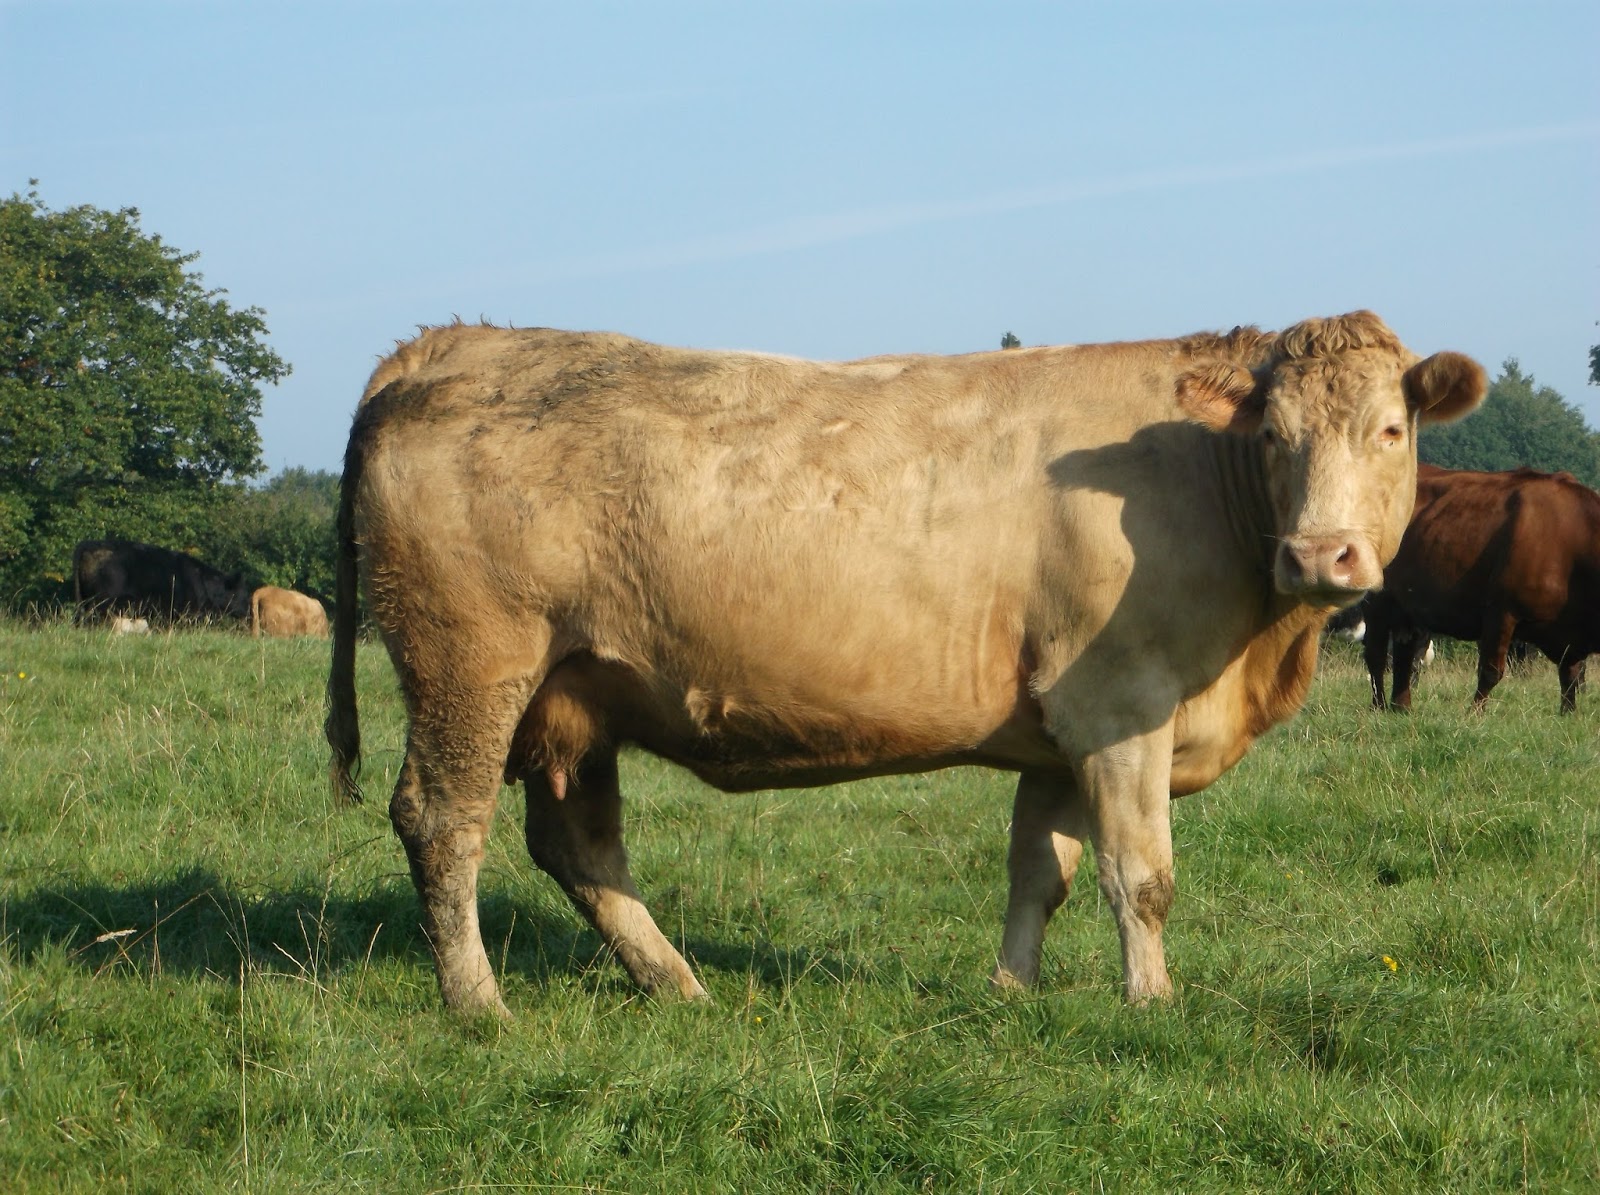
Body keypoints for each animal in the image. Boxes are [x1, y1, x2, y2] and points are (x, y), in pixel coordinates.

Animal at [325, 313, 1485, 1018]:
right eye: (1276, 434)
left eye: (1390, 428)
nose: (1321, 554)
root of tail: (445, 345)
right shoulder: (1123, 703)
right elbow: (1140, 875)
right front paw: (1151, 1006)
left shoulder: (1060, 728)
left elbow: (1041, 872)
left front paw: (1010, 993)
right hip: (472, 665)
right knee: (444, 819)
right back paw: (479, 1002)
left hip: (577, 689)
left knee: (579, 845)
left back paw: (679, 985)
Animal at [1361, 464, 1600, 713]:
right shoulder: (1501, 612)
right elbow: (1490, 670)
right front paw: (1474, 712)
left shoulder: (1569, 638)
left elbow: (1571, 674)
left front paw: (1568, 712)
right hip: (1375, 602)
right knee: (1376, 656)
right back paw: (1378, 705)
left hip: (1405, 608)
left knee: (1404, 656)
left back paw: (1402, 706)